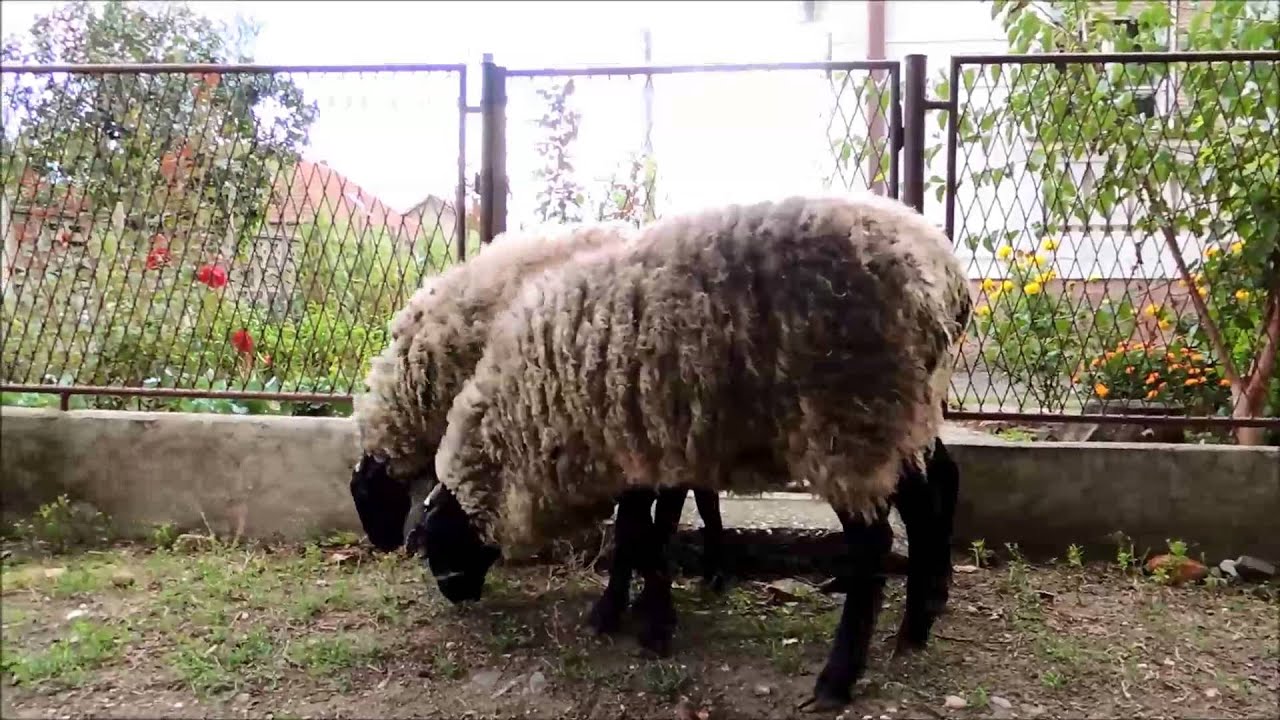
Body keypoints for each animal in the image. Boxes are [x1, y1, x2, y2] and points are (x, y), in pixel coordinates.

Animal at [414, 192, 971, 711]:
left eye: (436, 543)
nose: (456, 598)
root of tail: (944, 273)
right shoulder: (642, 452)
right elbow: (640, 531)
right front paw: (629, 610)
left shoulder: (638, 444)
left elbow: (641, 535)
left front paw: (645, 622)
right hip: (899, 420)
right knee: (929, 499)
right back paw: (916, 626)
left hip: (849, 424)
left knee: (874, 542)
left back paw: (837, 679)